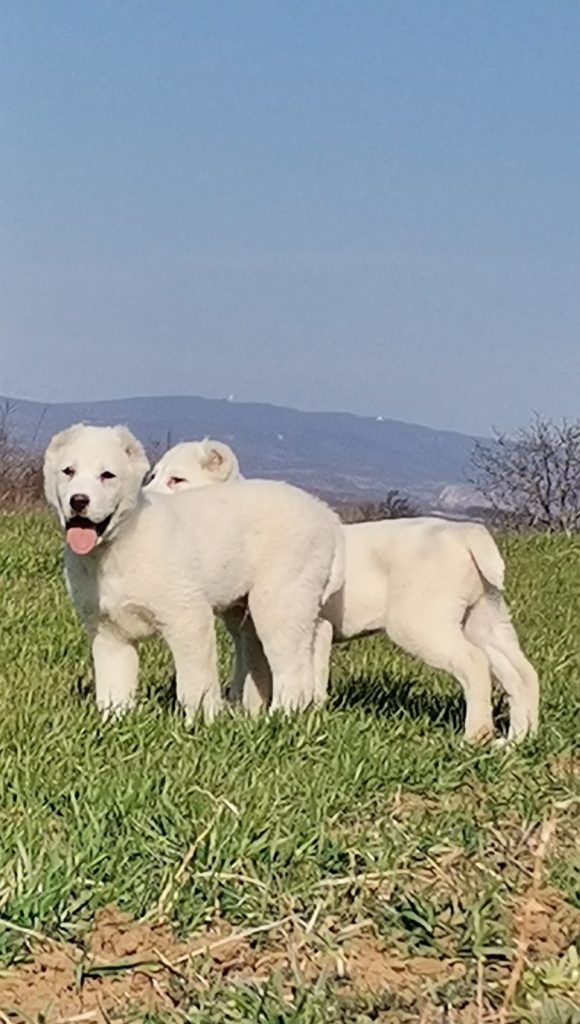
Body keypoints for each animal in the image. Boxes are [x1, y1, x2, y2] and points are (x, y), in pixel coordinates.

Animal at [46, 423, 346, 720]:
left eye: (107, 475)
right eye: (68, 471)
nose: (78, 501)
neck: (117, 546)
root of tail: (327, 517)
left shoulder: (188, 616)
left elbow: (194, 680)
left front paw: (202, 719)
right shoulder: (109, 632)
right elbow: (114, 686)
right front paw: (115, 721)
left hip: (280, 603)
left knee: (293, 669)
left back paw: (280, 716)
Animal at [148, 436, 541, 741]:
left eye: (177, 479)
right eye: (153, 475)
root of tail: (466, 532)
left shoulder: (315, 627)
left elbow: (301, 676)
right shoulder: (248, 633)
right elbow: (252, 677)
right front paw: (249, 714)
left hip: (422, 623)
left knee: (474, 664)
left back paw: (475, 735)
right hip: (485, 621)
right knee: (521, 674)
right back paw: (518, 740)